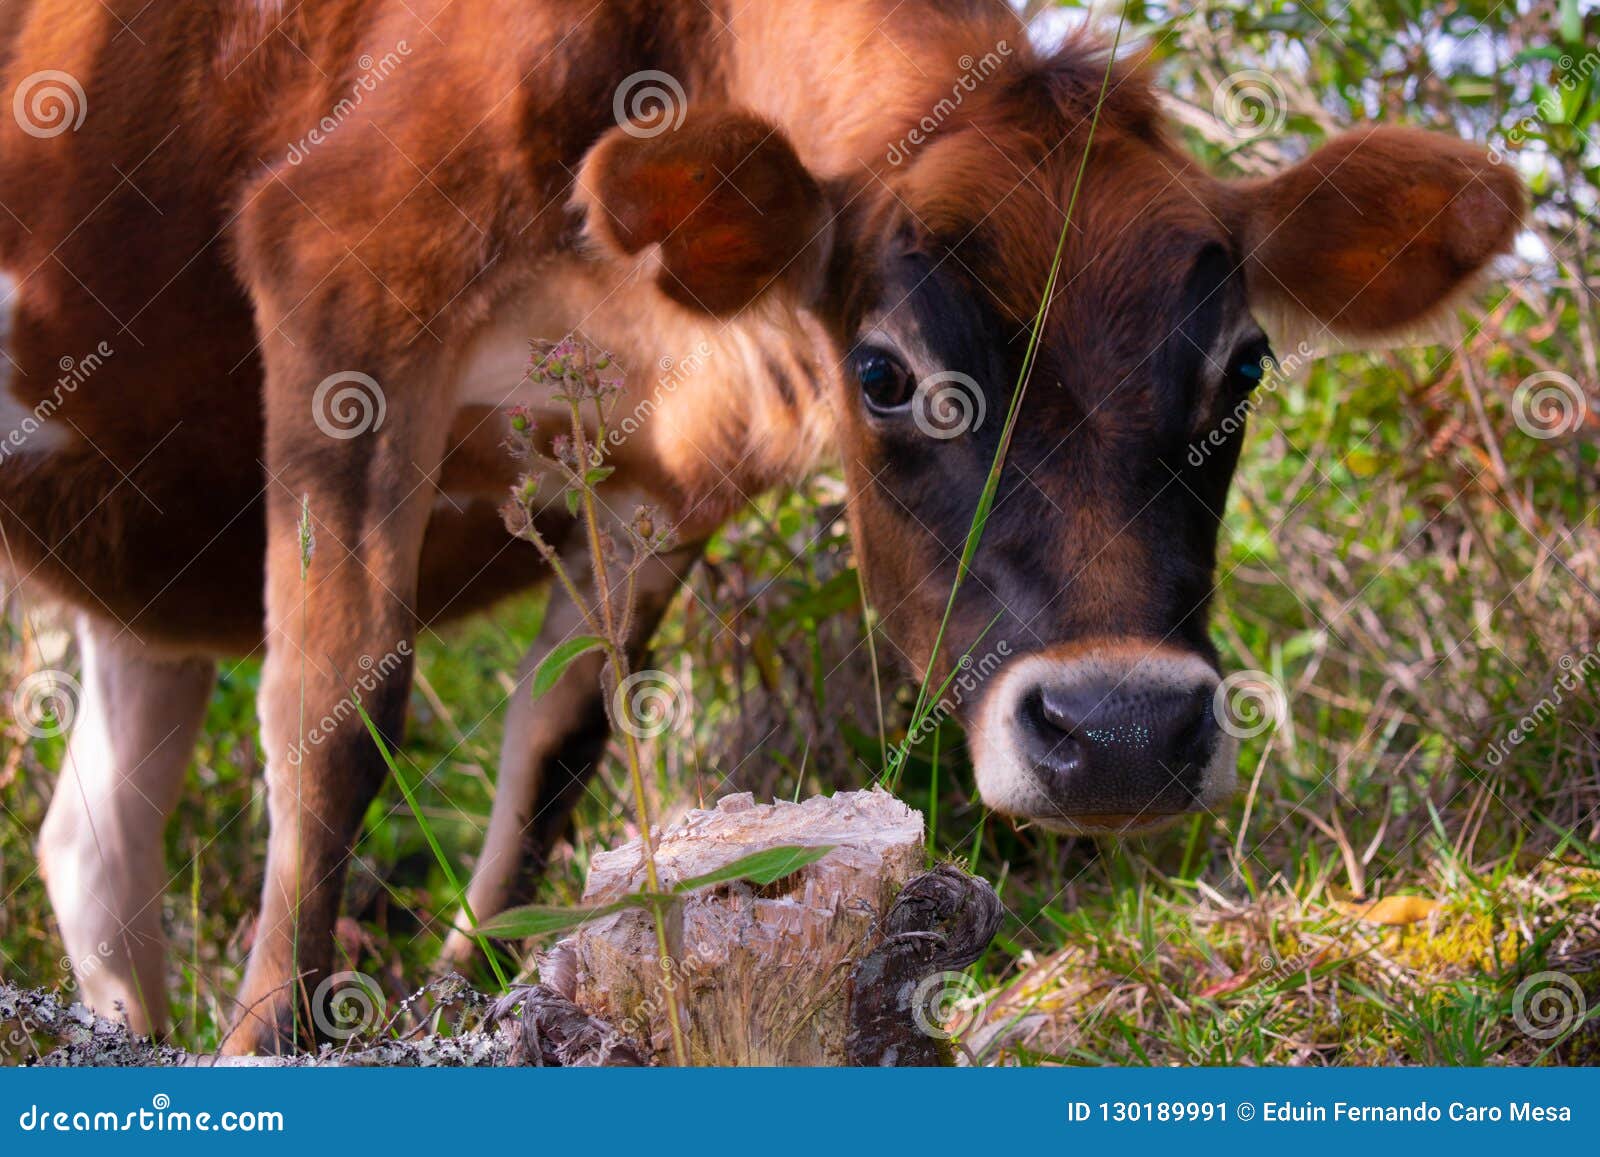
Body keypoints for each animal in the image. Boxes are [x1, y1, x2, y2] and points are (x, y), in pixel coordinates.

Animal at [0, 0, 1521, 1055]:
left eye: (1244, 368)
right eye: (887, 373)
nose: (1127, 730)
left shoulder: (662, 474)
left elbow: (561, 748)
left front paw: (477, 997)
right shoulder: (347, 285)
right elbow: (338, 713)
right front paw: (275, 1038)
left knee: (94, 844)